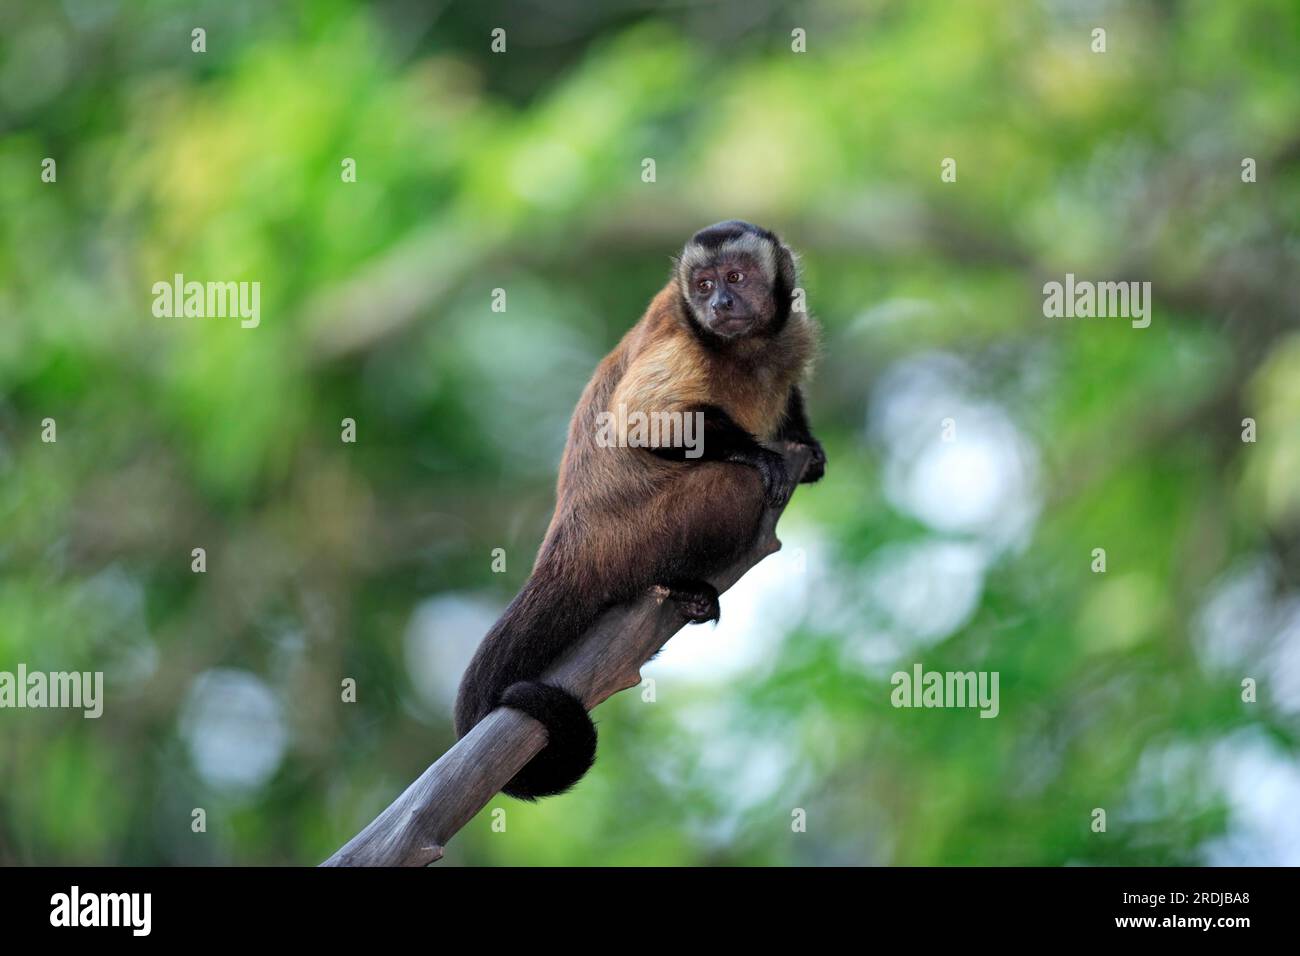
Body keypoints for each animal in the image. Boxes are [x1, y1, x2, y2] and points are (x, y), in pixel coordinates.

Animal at [453, 220, 826, 800]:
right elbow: (639, 422)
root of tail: (566, 543)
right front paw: (760, 453)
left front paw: (805, 446)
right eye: (702, 286)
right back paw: (680, 583)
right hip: (638, 536)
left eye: (735, 277)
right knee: (737, 488)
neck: (744, 348)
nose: (719, 303)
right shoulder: (681, 342)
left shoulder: (793, 332)